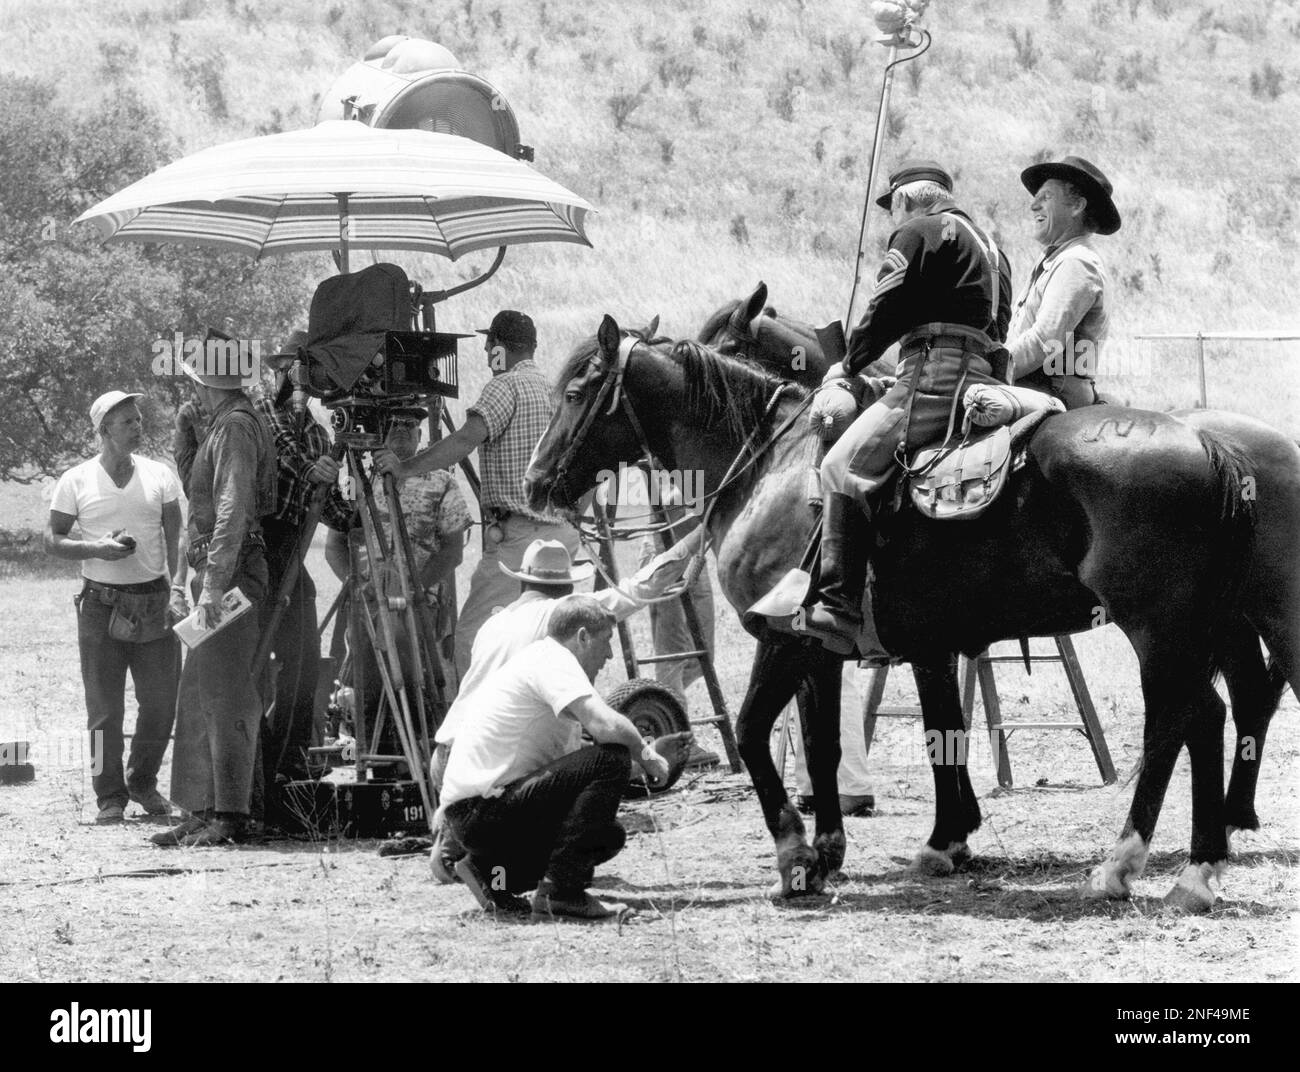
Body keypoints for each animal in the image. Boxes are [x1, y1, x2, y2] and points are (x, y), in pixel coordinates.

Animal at [524, 315, 1300, 911]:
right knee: (1214, 713)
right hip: (1199, 627)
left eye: (575, 391)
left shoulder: (785, 641)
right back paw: (1198, 862)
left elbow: (752, 733)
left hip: (1163, 628)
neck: (773, 470)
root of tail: (1211, 445)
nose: (535, 481)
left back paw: (1138, 864)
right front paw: (846, 847)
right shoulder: (832, 650)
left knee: (1185, 720)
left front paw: (794, 855)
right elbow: (837, 745)